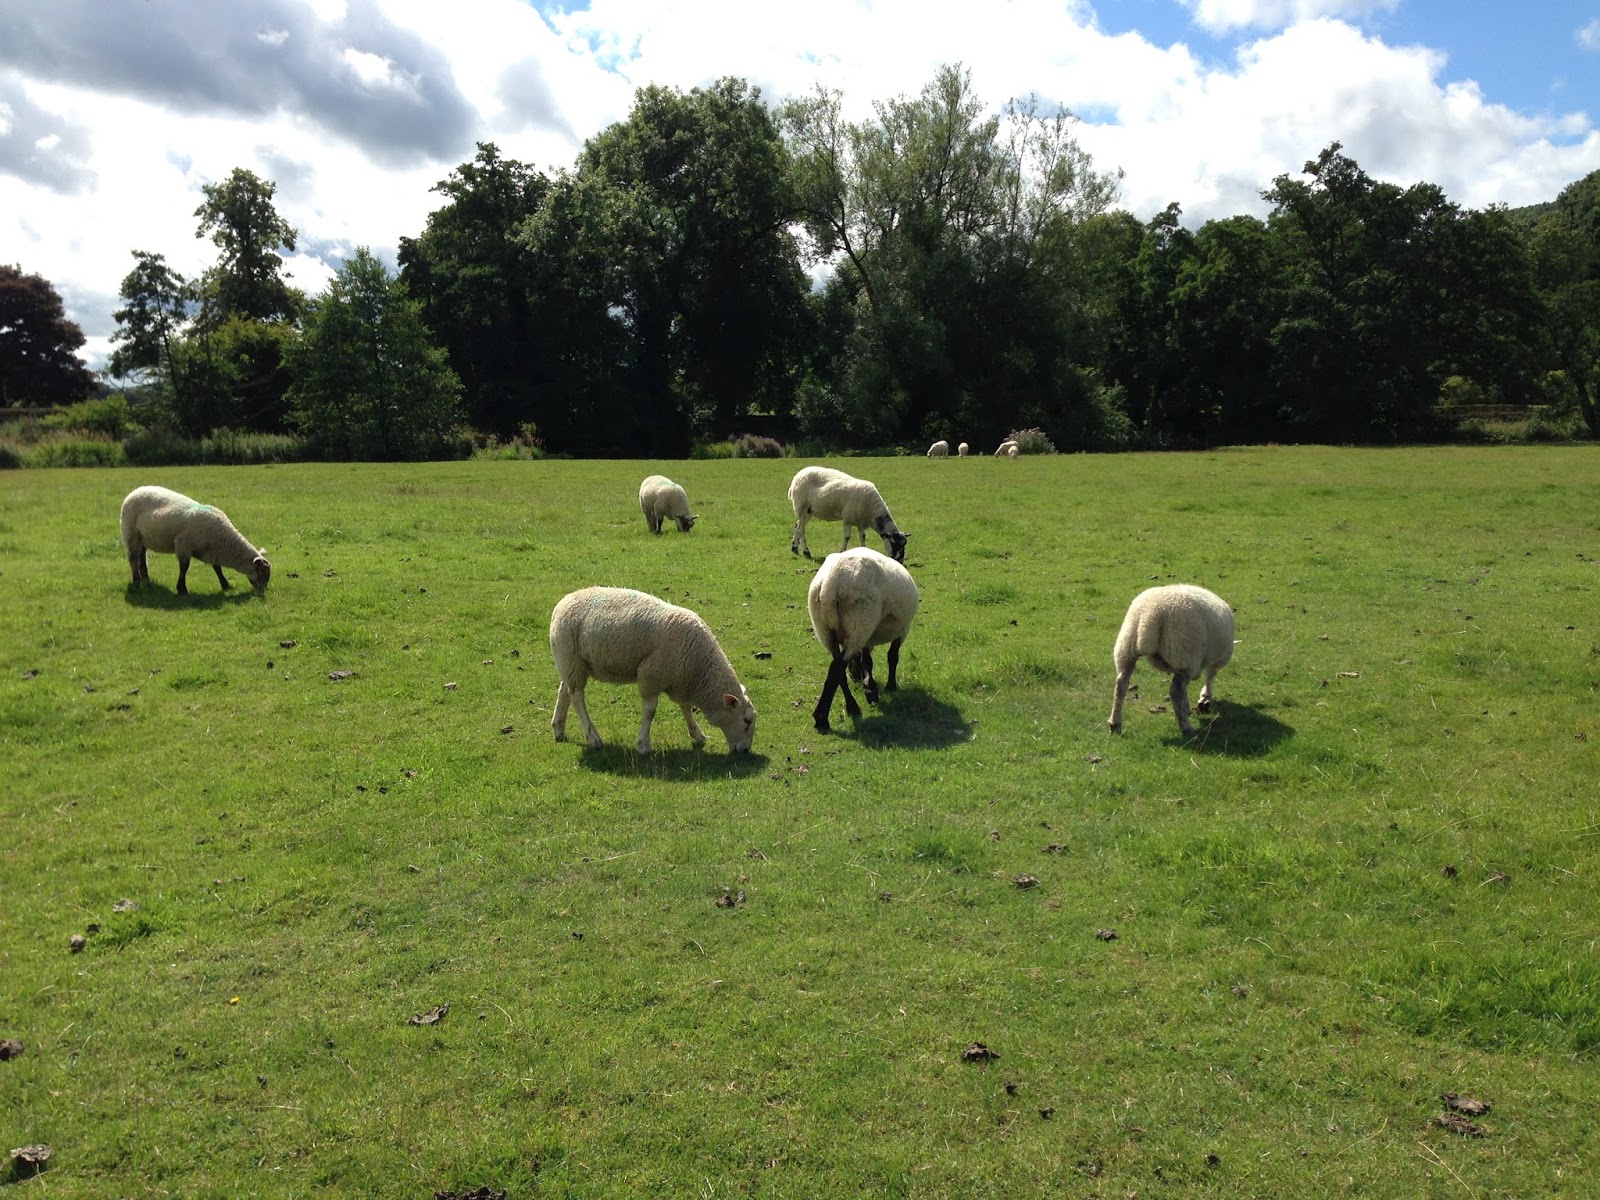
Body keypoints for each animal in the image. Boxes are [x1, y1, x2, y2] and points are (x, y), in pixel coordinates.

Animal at [119, 485, 270, 595]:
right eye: (262, 574)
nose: (262, 592)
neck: (224, 539)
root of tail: (135, 491)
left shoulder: (212, 551)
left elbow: (217, 568)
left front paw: (225, 585)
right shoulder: (183, 545)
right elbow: (184, 568)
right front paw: (182, 589)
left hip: (143, 537)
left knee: (141, 555)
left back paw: (145, 578)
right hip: (130, 533)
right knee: (133, 558)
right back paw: (137, 581)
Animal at [549, 586, 756, 754]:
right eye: (747, 721)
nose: (745, 751)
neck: (699, 668)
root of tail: (561, 604)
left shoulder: (679, 679)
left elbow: (686, 707)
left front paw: (697, 734)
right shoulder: (651, 677)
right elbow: (650, 712)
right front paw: (644, 745)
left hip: (571, 662)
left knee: (564, 690)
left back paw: (559, 729)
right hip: (572, 659)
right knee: (577, 696)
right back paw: (593, 738)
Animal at [806, 546, 919, 732]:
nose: (856, 677)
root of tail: (831, 584)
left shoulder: (868, 639)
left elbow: (867, 660)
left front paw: (870, 688)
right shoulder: (903, 630)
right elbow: (892, 656)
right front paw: (890, 686)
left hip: (825, 628)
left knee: (837, 668)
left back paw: (851, 707)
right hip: (860, 621)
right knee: (837, 667)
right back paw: (822, 717)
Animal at [1108, 584, 1235, 737]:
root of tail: (1151, 615)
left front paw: (1188, 707)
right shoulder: (1213, 660)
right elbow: (1209, 676)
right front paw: (1204, 699)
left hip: (1126, 648)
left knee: (1121, 684)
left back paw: (1115, 724)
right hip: (1184, 654)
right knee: (1175, 691)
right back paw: (1186, 728)